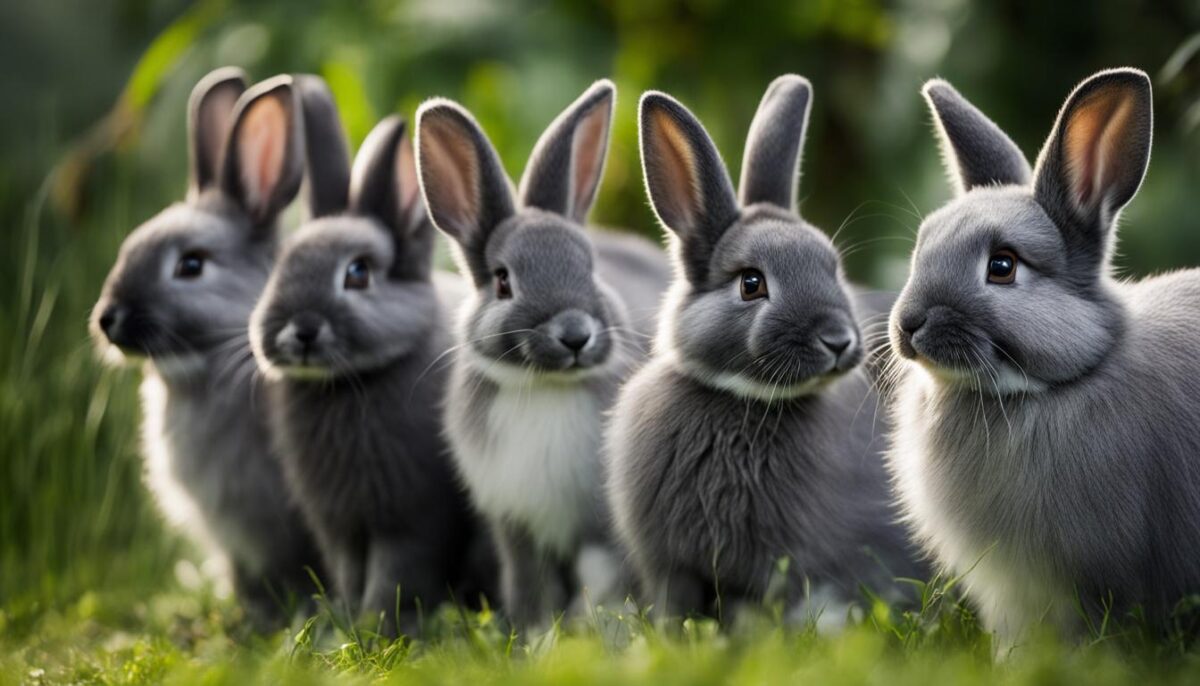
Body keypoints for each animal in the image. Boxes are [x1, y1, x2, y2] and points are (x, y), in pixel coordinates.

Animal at [249, 77, 476, 635]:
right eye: (281, 265)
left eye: (358, 274)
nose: (300, 329)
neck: (349, 382)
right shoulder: (341, 527)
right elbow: (351, 572)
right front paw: (346, 623)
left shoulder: (412, 520)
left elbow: (397, 572)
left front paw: (378, 627)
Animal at [414, 80, 671, 629]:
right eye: (503, 281)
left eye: (590, 268)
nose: (575, 335)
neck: (545, 387)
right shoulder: (517, 527)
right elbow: (530, 583)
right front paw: (535, 631)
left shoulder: (601, 529)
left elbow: (603, 579)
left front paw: (599, 631)